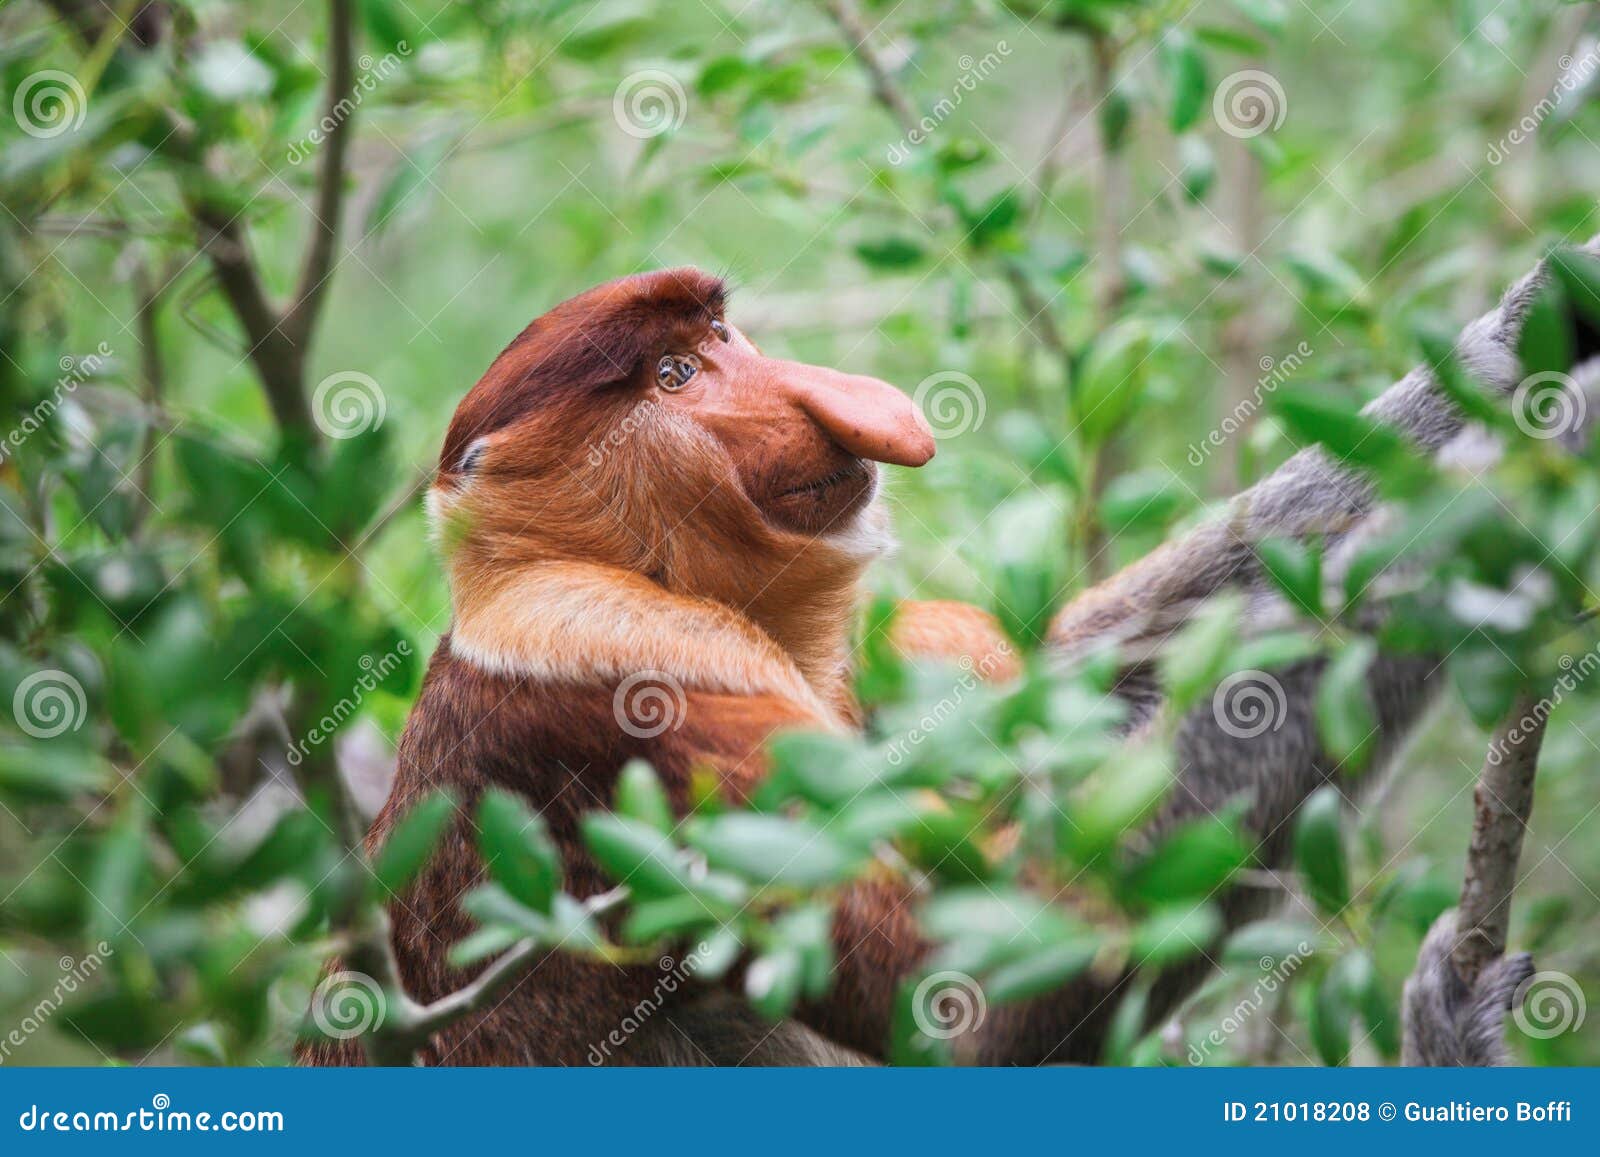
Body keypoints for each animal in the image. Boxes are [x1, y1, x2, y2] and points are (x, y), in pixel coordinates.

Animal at [300, 243, 1600, 1067]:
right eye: (672, 376)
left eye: (720, 334)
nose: (830, 397)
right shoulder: (620, 670)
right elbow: (967, 996)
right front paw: (1498, 495)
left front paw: (1530, 335)